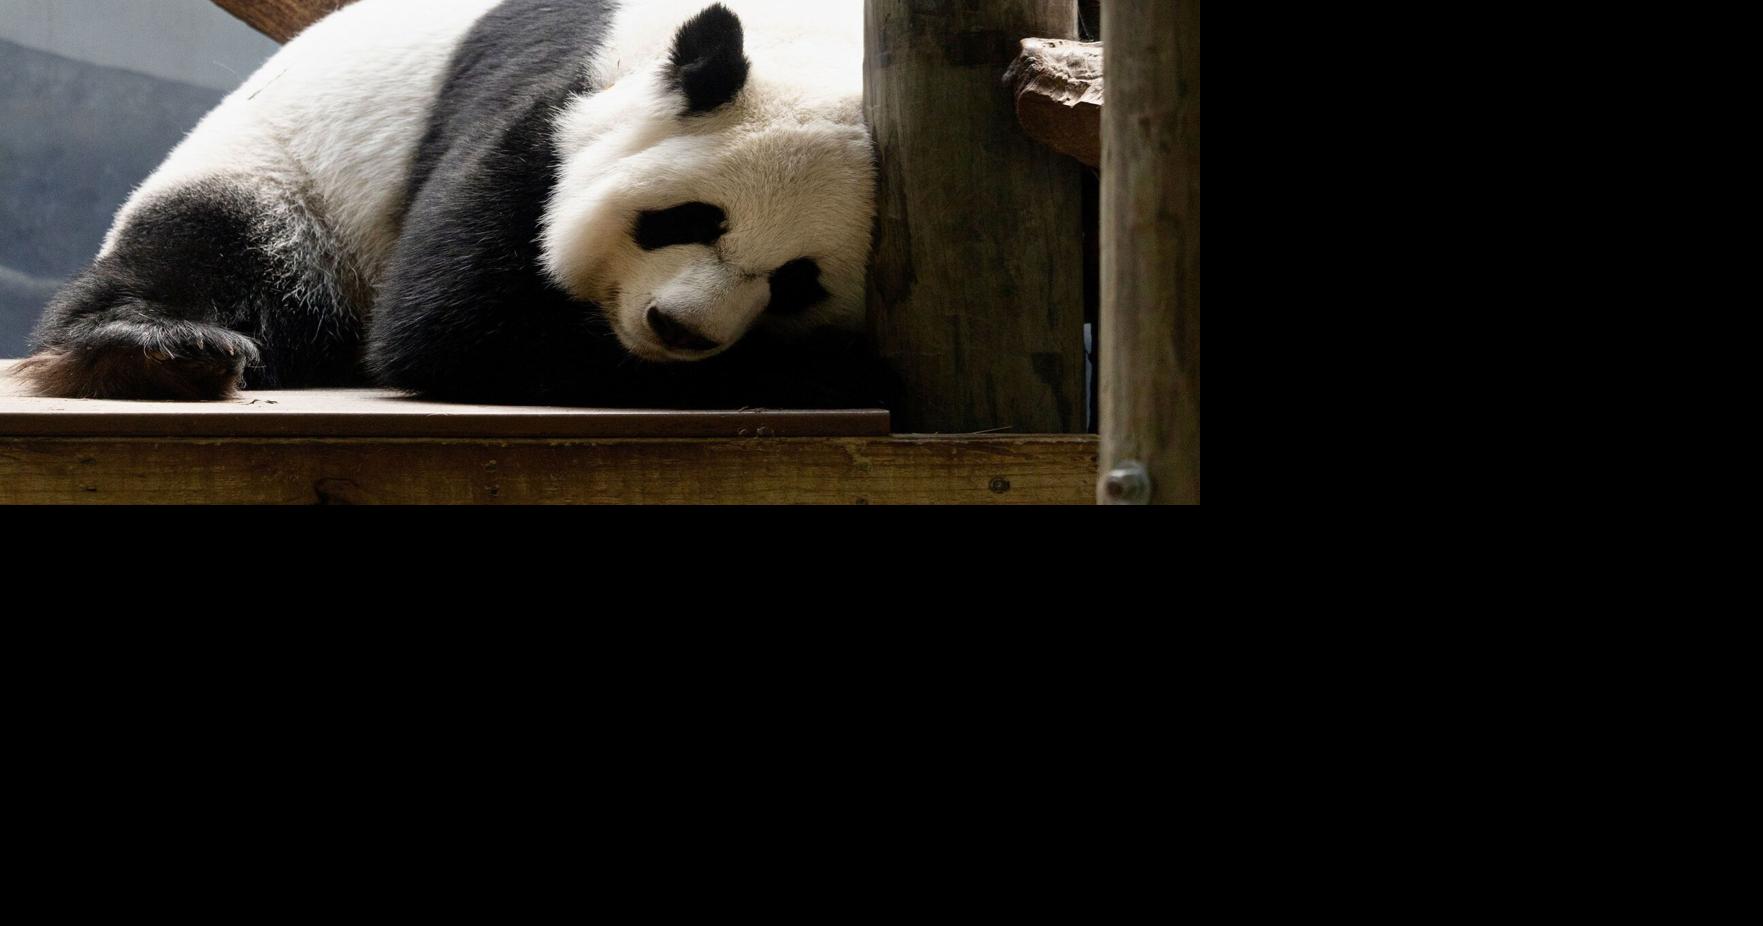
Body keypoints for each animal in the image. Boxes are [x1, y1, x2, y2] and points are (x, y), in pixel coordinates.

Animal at [16, 0, 884, 407]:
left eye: (797, 280)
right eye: (688, 219)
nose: (678, 330)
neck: (810, 33)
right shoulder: (558, 91)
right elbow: (454, 317)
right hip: (286, 179)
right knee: (219, 248)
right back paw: (150, 348)